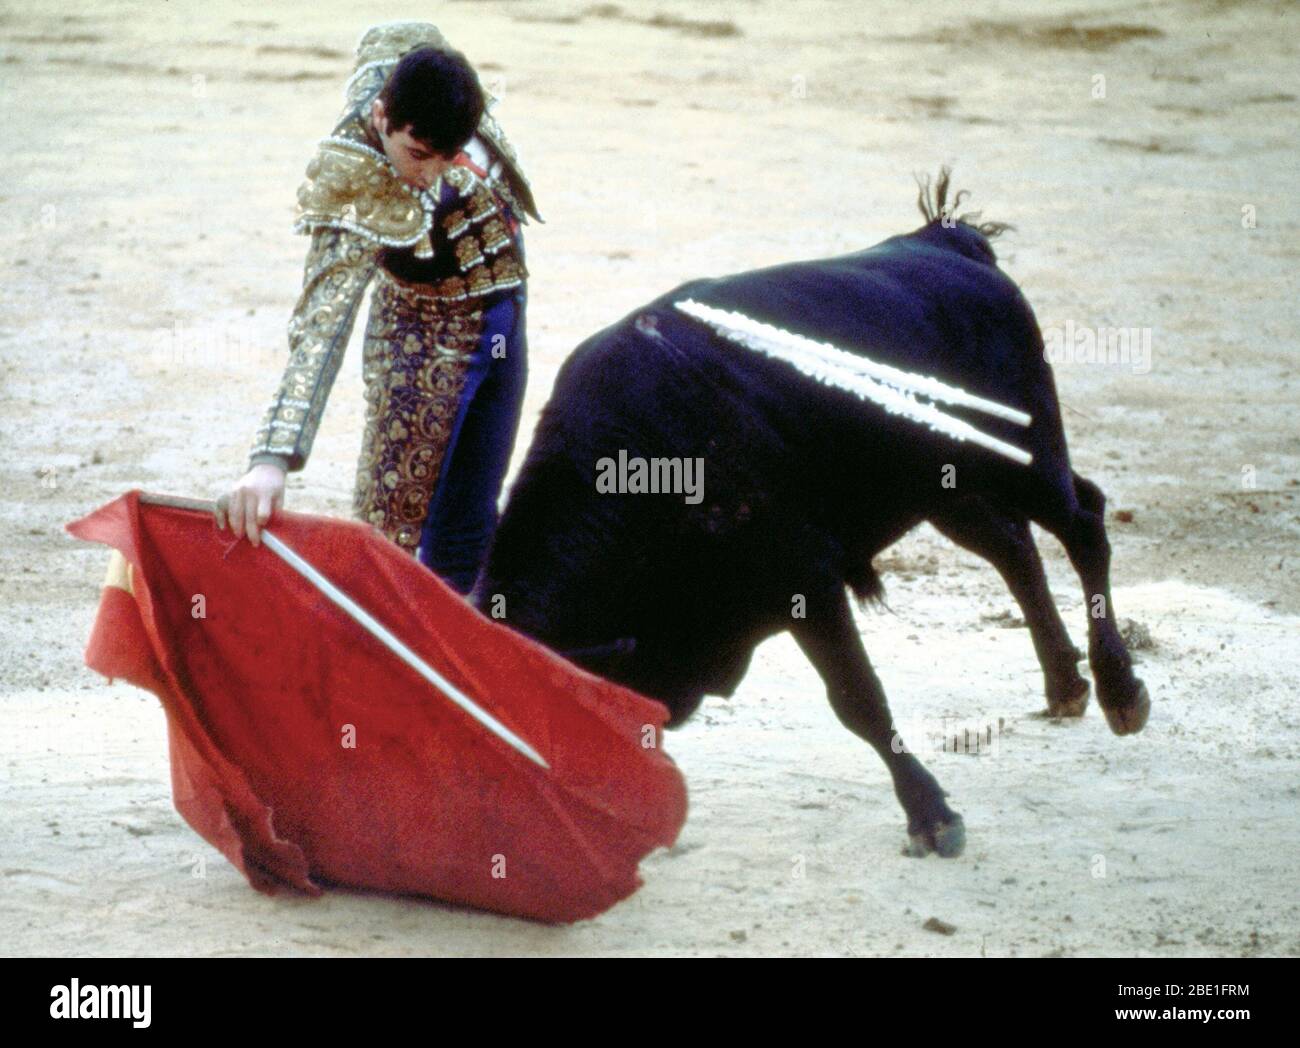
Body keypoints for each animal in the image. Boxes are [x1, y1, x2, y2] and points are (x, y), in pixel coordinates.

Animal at [471, 169, 1150, 858]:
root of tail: (946, 246)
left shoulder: (807, 579)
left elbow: (857, 697)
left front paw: (932, 817)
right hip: (950, 491)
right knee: (1013, 547)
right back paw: (1065, 687)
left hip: (1026, 458)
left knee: (1082, 524)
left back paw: (1120, 693)